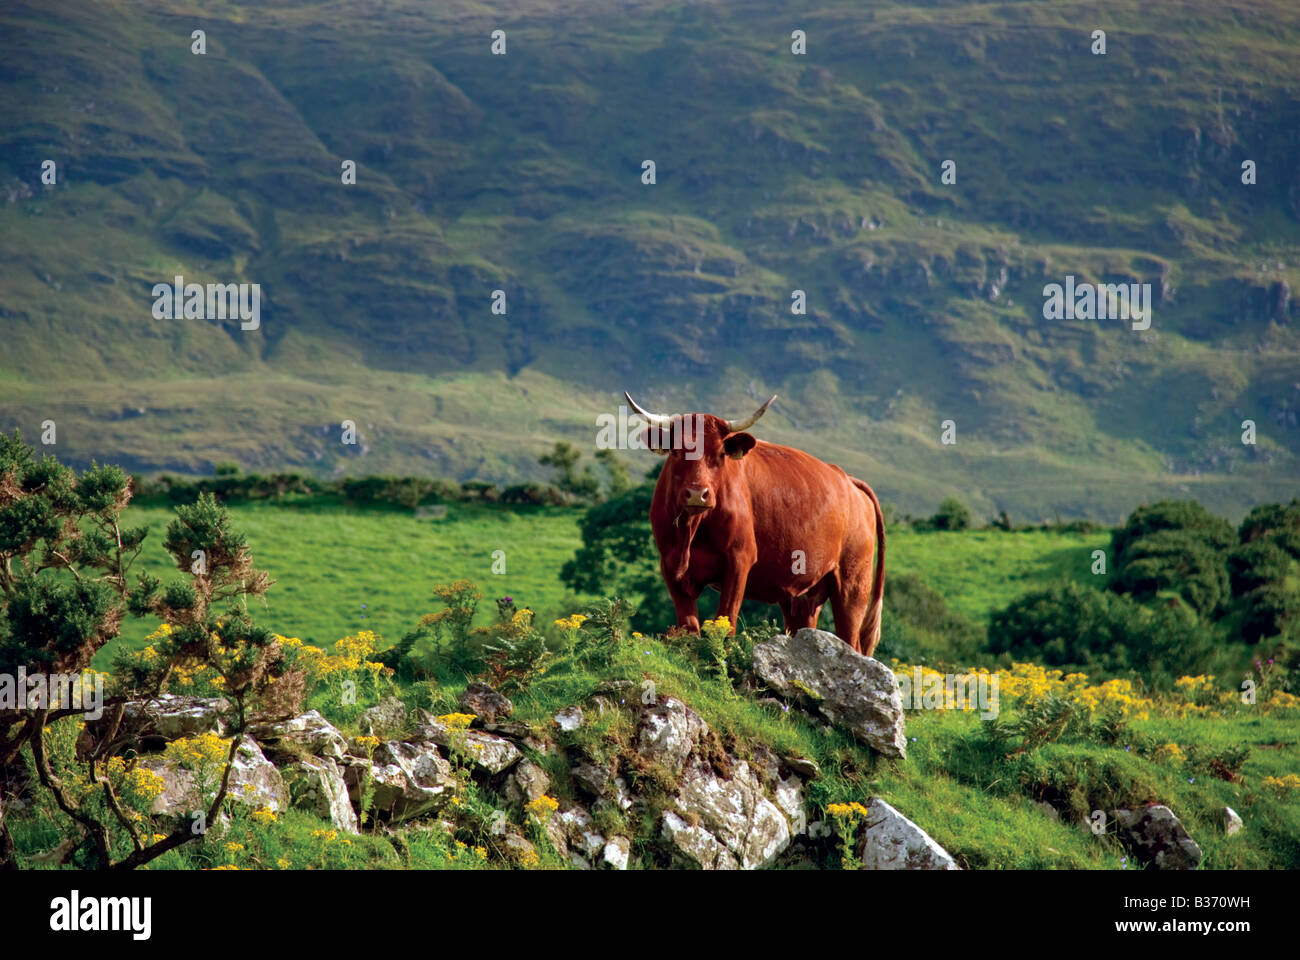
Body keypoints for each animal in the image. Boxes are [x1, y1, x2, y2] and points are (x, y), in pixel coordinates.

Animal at [625, 392, 886, 657]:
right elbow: (689, 626)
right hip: (805, 597)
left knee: (852, 640)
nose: (698, 494)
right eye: (676, 451)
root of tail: (847, 479)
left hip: (853, 584)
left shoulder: (739, 558)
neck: (691, 532)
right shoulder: (669, 563)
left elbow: (727, 618)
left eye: (720, 454)